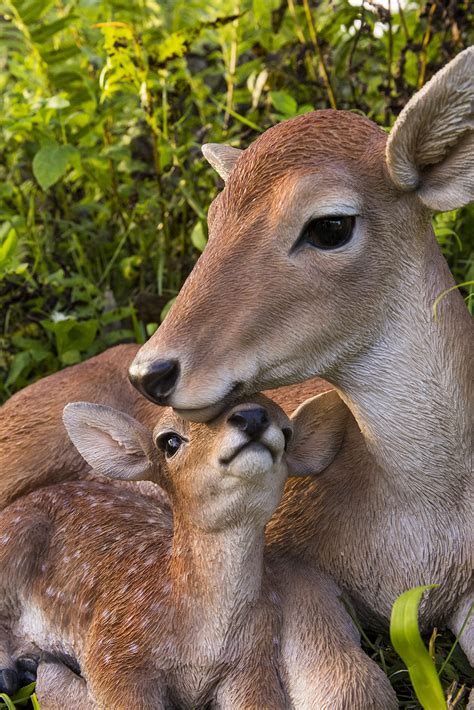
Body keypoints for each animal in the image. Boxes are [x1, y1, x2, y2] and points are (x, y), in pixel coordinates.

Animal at [0, 395, 397, 708]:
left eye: (287, 432)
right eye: (169, 440)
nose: (252, 417)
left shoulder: (252, 662)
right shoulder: (114, 653)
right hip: (14, 539)